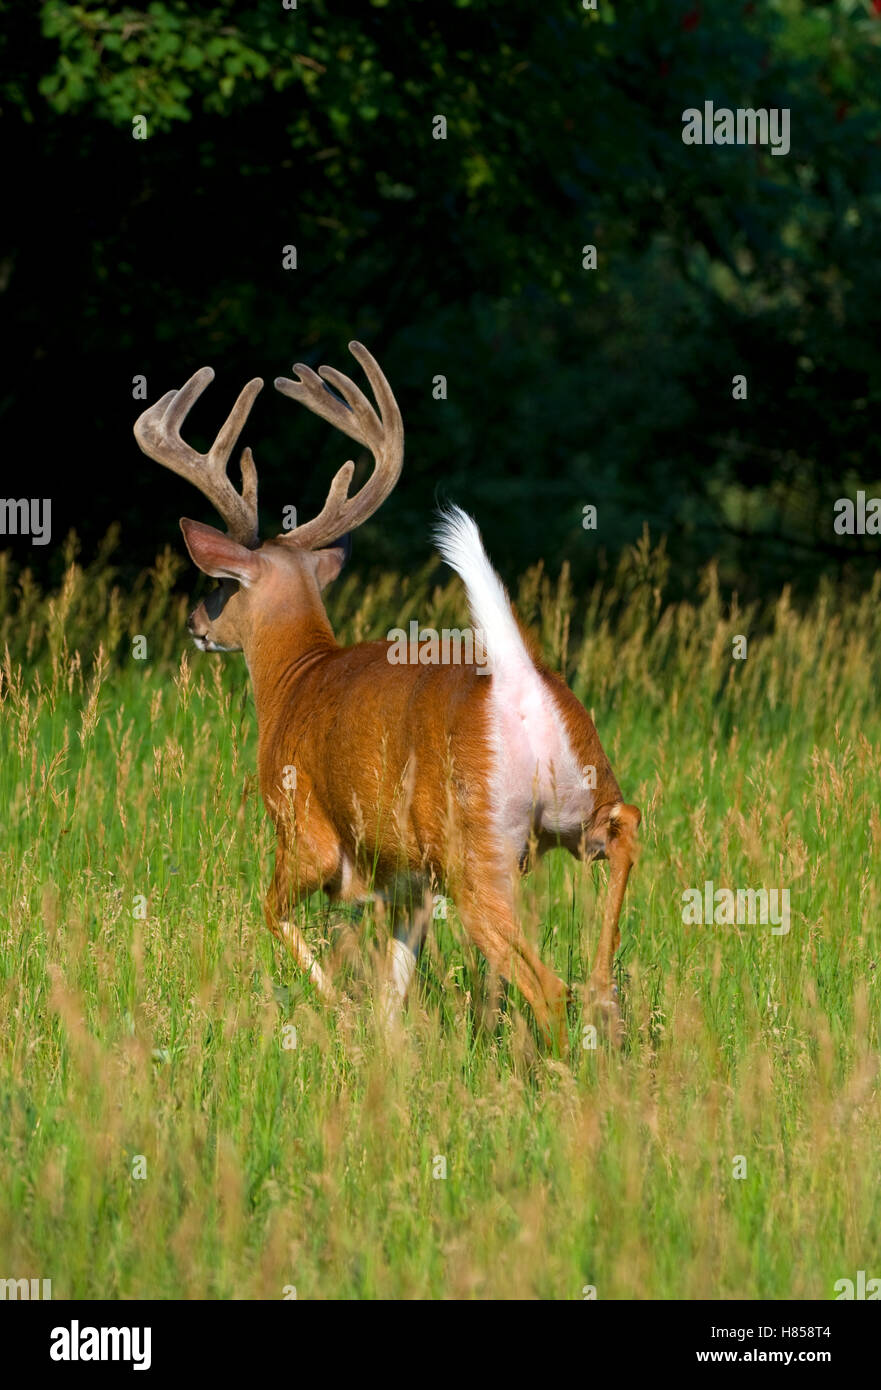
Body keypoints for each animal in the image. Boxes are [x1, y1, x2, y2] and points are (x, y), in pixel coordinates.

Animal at [133, 342, 640, 1051]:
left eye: (223, 584)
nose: (195, 624)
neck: (296, 676)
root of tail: (516, 679)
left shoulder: (305, 830)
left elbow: (275, 916)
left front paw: (336, 1011)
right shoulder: (408, 876)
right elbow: (396, 982)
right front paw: (386, 1042)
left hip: (476, 846)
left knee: (545, 986)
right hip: (582, 799)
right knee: (625, 831)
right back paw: (604, 995)